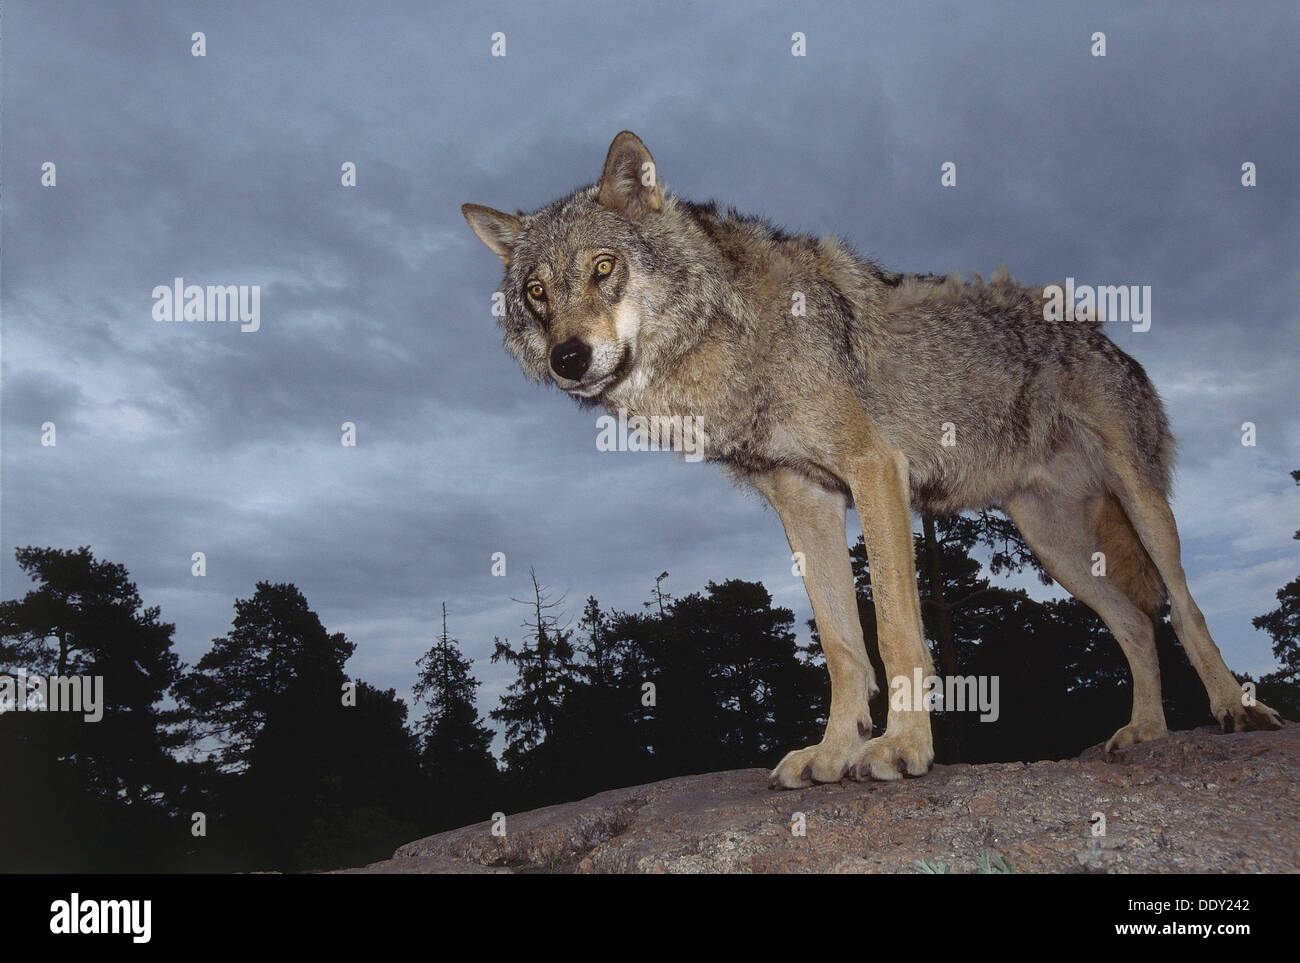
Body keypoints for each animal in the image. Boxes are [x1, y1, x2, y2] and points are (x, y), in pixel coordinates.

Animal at [463, 131, 1283, 789]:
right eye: (536, 293)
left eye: (604, 268)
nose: (569, 358)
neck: (735, 339)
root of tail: (1103, 333)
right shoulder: (805, 499)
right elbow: (841, 645)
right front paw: (832, 752)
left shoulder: (874, 470)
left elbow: (893, 630)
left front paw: (901, 748)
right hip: (1057, 550)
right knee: (1138, 624)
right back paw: (1146, 731)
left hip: (1141, 508)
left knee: (1185, 606)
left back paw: (1235, 710)